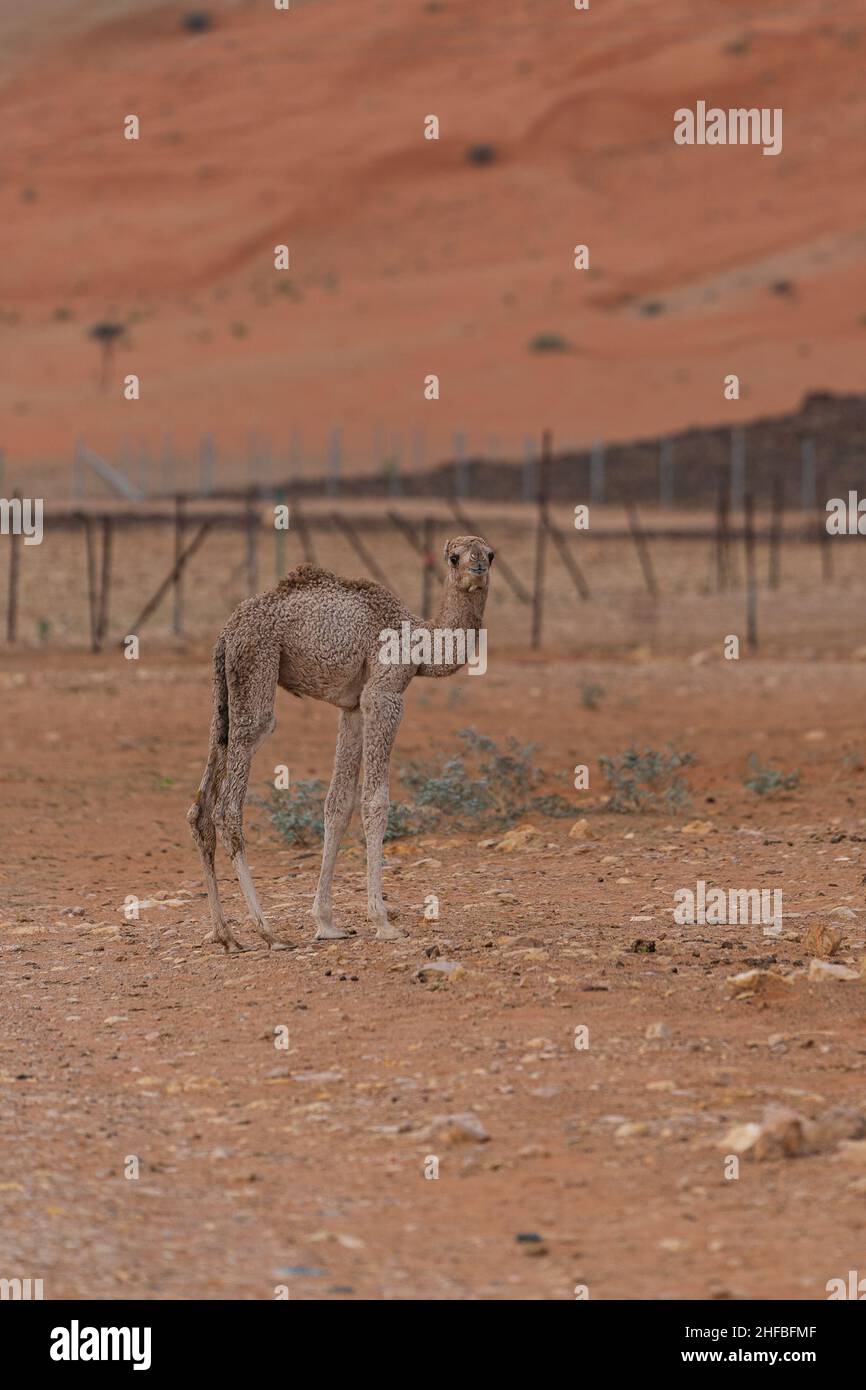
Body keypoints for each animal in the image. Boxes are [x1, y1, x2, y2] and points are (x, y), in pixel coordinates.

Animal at [188, 534, 494, 951]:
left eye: (490, 554)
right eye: (454, 557)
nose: (477, 569)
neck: (419, 645)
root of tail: (228, 628)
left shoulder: (352, 707)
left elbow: (338, 804)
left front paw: (326, 922)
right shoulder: (383, 693)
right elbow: (375, 801)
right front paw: (383, 921)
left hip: (224, 691)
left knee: (201, 806)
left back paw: (226, 934)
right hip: (257, 668)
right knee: (228, 807)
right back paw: (268, 931)